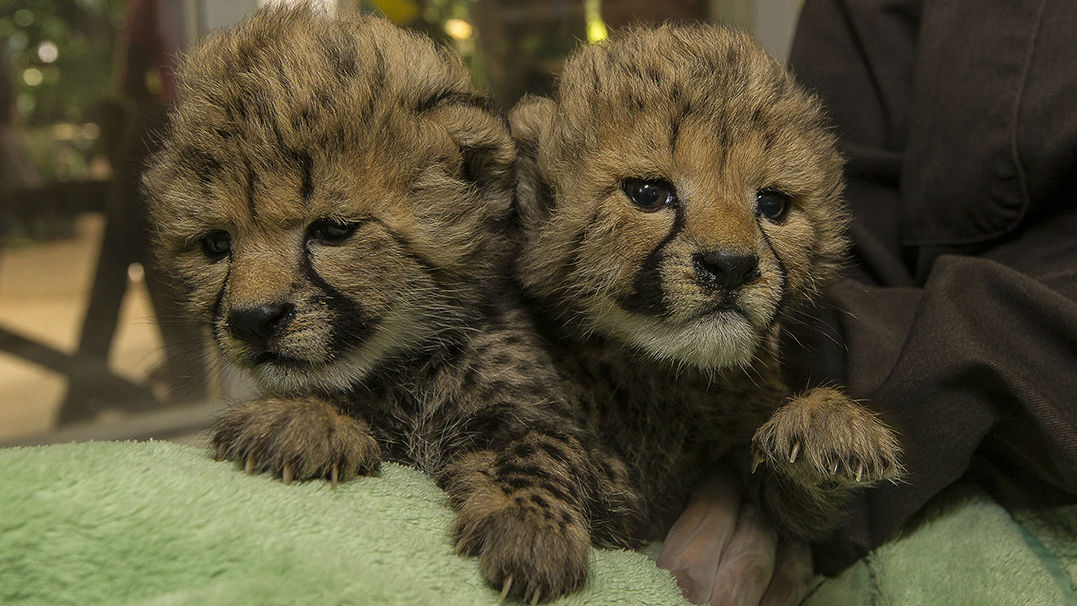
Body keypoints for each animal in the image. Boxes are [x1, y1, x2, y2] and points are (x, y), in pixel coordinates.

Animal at [144, 6, 647, 603]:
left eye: (334, 230)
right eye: (216, 244)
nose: (252, 320)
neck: (411, 364)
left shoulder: (619, 485)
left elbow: (546, 445)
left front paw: (530, 528)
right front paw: (301, 419)